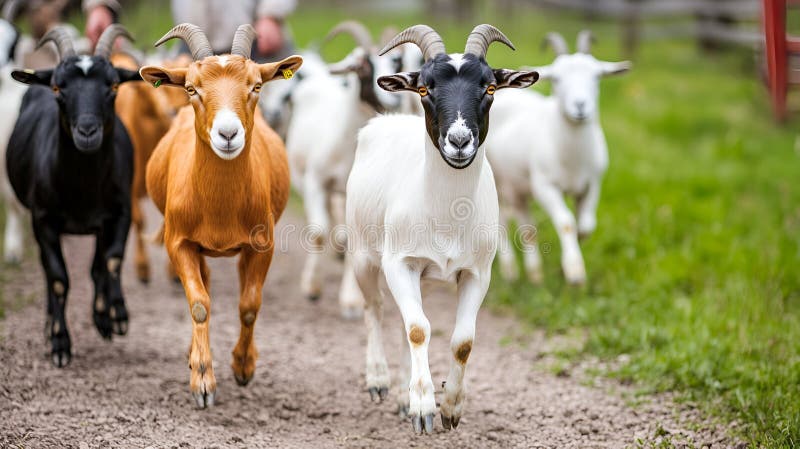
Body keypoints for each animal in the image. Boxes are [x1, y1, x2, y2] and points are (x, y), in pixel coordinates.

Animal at [6, 25, 140, 366]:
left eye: (114, 86)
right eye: (58, 88)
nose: (88, 132)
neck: (84, 189)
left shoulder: (119, 212)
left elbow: (110, 261)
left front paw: (115, 315)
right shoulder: (43, 220)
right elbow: (58, 278)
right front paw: (59, 343)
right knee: (49, 274)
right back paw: (48, 325)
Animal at [139, 23, 301, 408]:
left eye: (256, 86)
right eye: (191, 88)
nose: (228, 134)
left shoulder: (263, 245)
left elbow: (249, 305)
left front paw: (243, 367)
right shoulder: (179, 242)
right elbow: (199, 304)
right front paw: (202, 382)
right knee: (206, 285)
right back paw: (193, 355)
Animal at [346, 24, 538, 434]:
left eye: (490, 87)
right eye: (424, 89)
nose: (460, 141)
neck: (447, 211)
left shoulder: (477, 272)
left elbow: (460, 340)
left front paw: (449, 408)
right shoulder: (400, 262)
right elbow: (418, 329)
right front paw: (423, 409)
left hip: (424, 277)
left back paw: (402, 397)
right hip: (364, 255)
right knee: (375, 309)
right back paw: (379, 380)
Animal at [486, 31, 630, 285]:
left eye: (597, 76)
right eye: (556, 79)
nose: (580, 106)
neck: (573, 159)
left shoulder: (592, 183)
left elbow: (586, 225)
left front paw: (569, 262)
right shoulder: (545, 186)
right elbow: (566, 223)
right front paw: (575, 272)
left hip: (519, 186)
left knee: (526, 226)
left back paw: (534, 273)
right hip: (501, 182)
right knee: (503, 220)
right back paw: (511, 271)